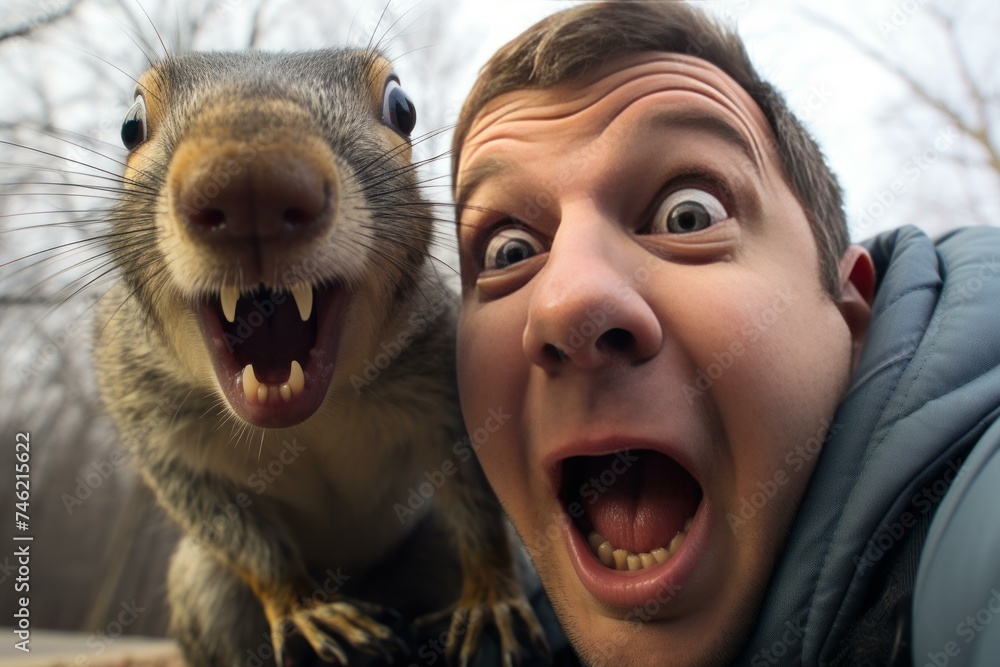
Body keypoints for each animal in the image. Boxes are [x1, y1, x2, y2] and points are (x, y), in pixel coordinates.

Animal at [92, 46, 549, 666]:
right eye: (129, 125)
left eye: (403, 109)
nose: (251, 184)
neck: (308, 418)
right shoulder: (155, 424)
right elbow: (224, 523)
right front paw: (307, 608)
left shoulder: (444, 385)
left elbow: (478, 498)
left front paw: (490, 597)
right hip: (204, 589)